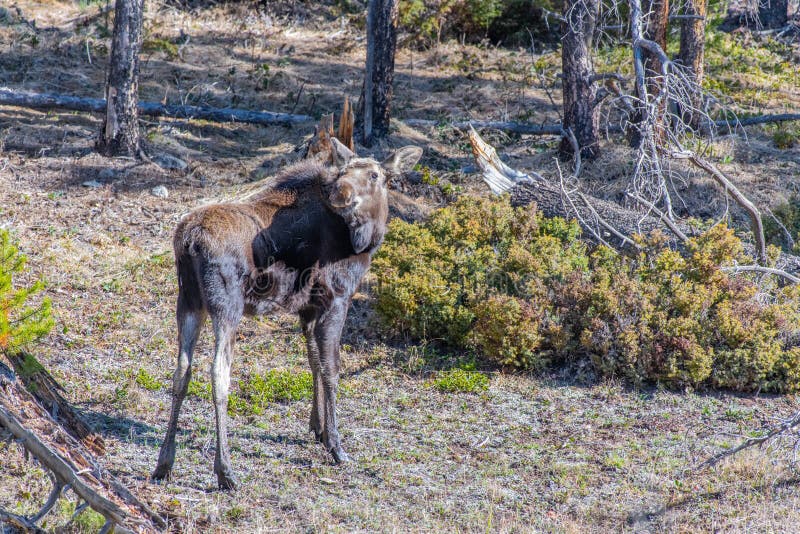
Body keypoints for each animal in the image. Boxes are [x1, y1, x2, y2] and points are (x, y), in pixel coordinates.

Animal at [151, 139, 422, 490]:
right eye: (344, 172)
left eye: (375, 175)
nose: (341, 193)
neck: (363, 239)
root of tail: (189, 241)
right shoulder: (337, 298)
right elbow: (332, 370)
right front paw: (335, 445)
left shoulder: (307, 309)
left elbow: (314, 363)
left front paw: (317, 428)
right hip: (226, 306)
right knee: (218, 373)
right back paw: (225, 471)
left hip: (187, 302)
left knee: (181, 371)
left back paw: (164, 463)